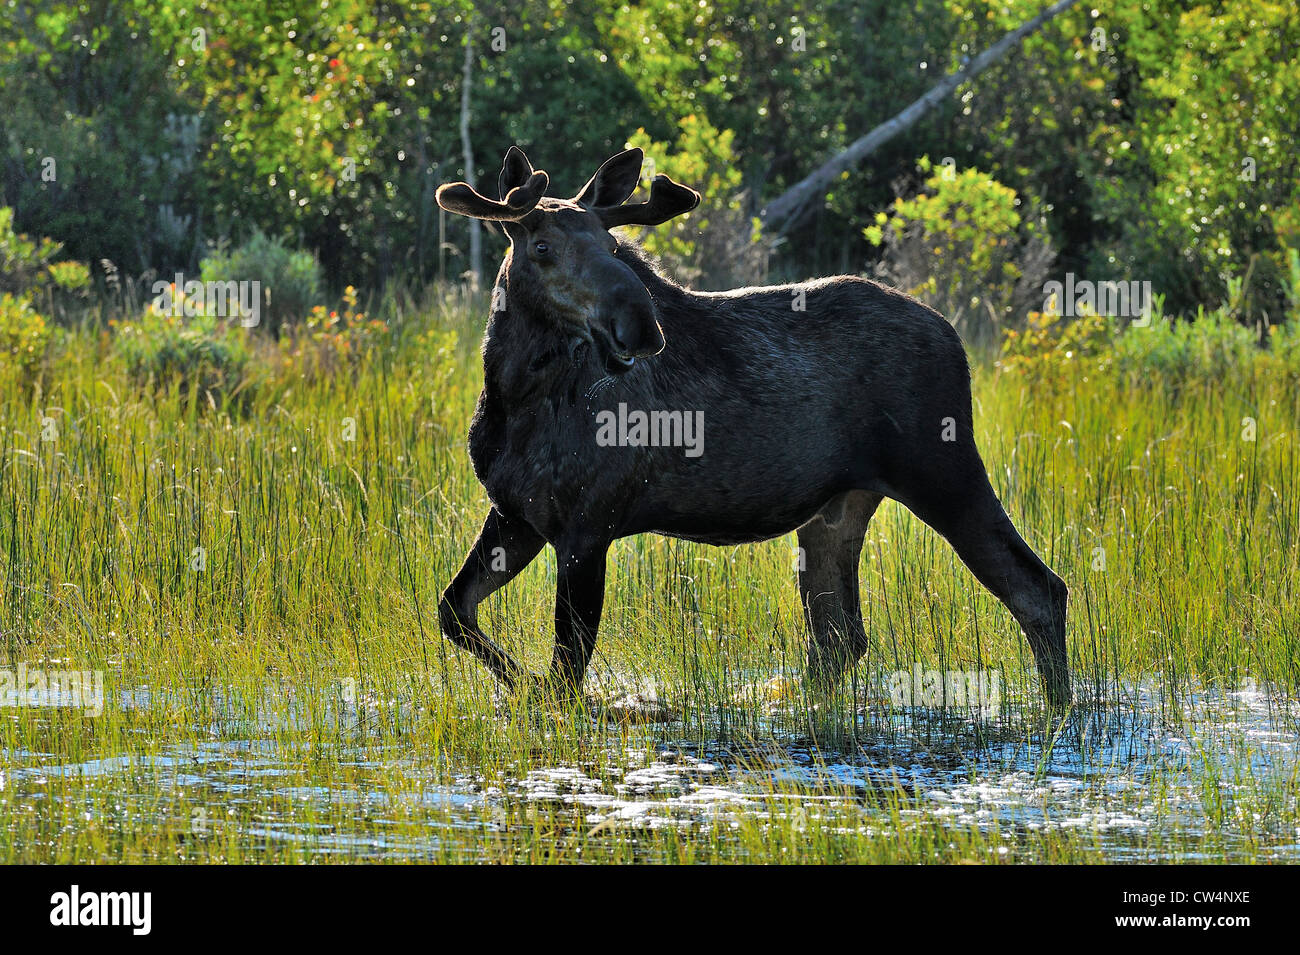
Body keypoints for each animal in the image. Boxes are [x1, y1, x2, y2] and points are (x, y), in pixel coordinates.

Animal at [434, 145, 1071, 708]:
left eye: (612, 243)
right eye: (541, 246)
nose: (639, 326)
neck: (514, 397)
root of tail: (955, 337)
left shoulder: (588, 528)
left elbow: (566, 674)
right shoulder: (517, 514)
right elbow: (454, 610)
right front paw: (519, 686)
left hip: (945, 472)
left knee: (1039, 589)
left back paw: (1062, 716)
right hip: (837, 511)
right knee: (840, 639)